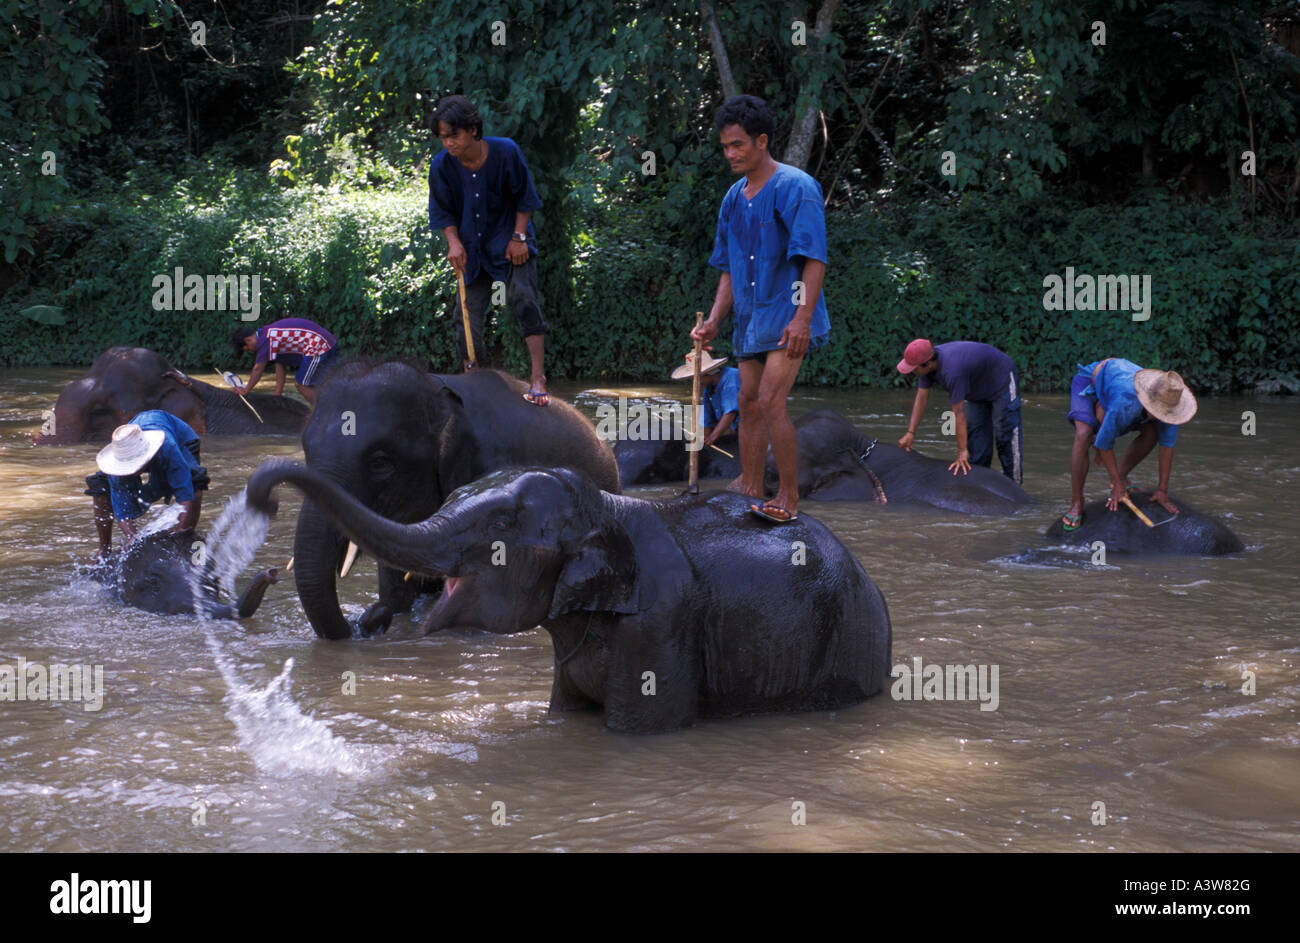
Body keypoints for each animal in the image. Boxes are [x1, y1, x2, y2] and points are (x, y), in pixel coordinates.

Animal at [246, 461, 893, 733]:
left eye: (499, 524)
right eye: (451, 496)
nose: (262, 497)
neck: (609, 509)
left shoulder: (661, 623)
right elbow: (562, 714)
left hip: (850, 643)